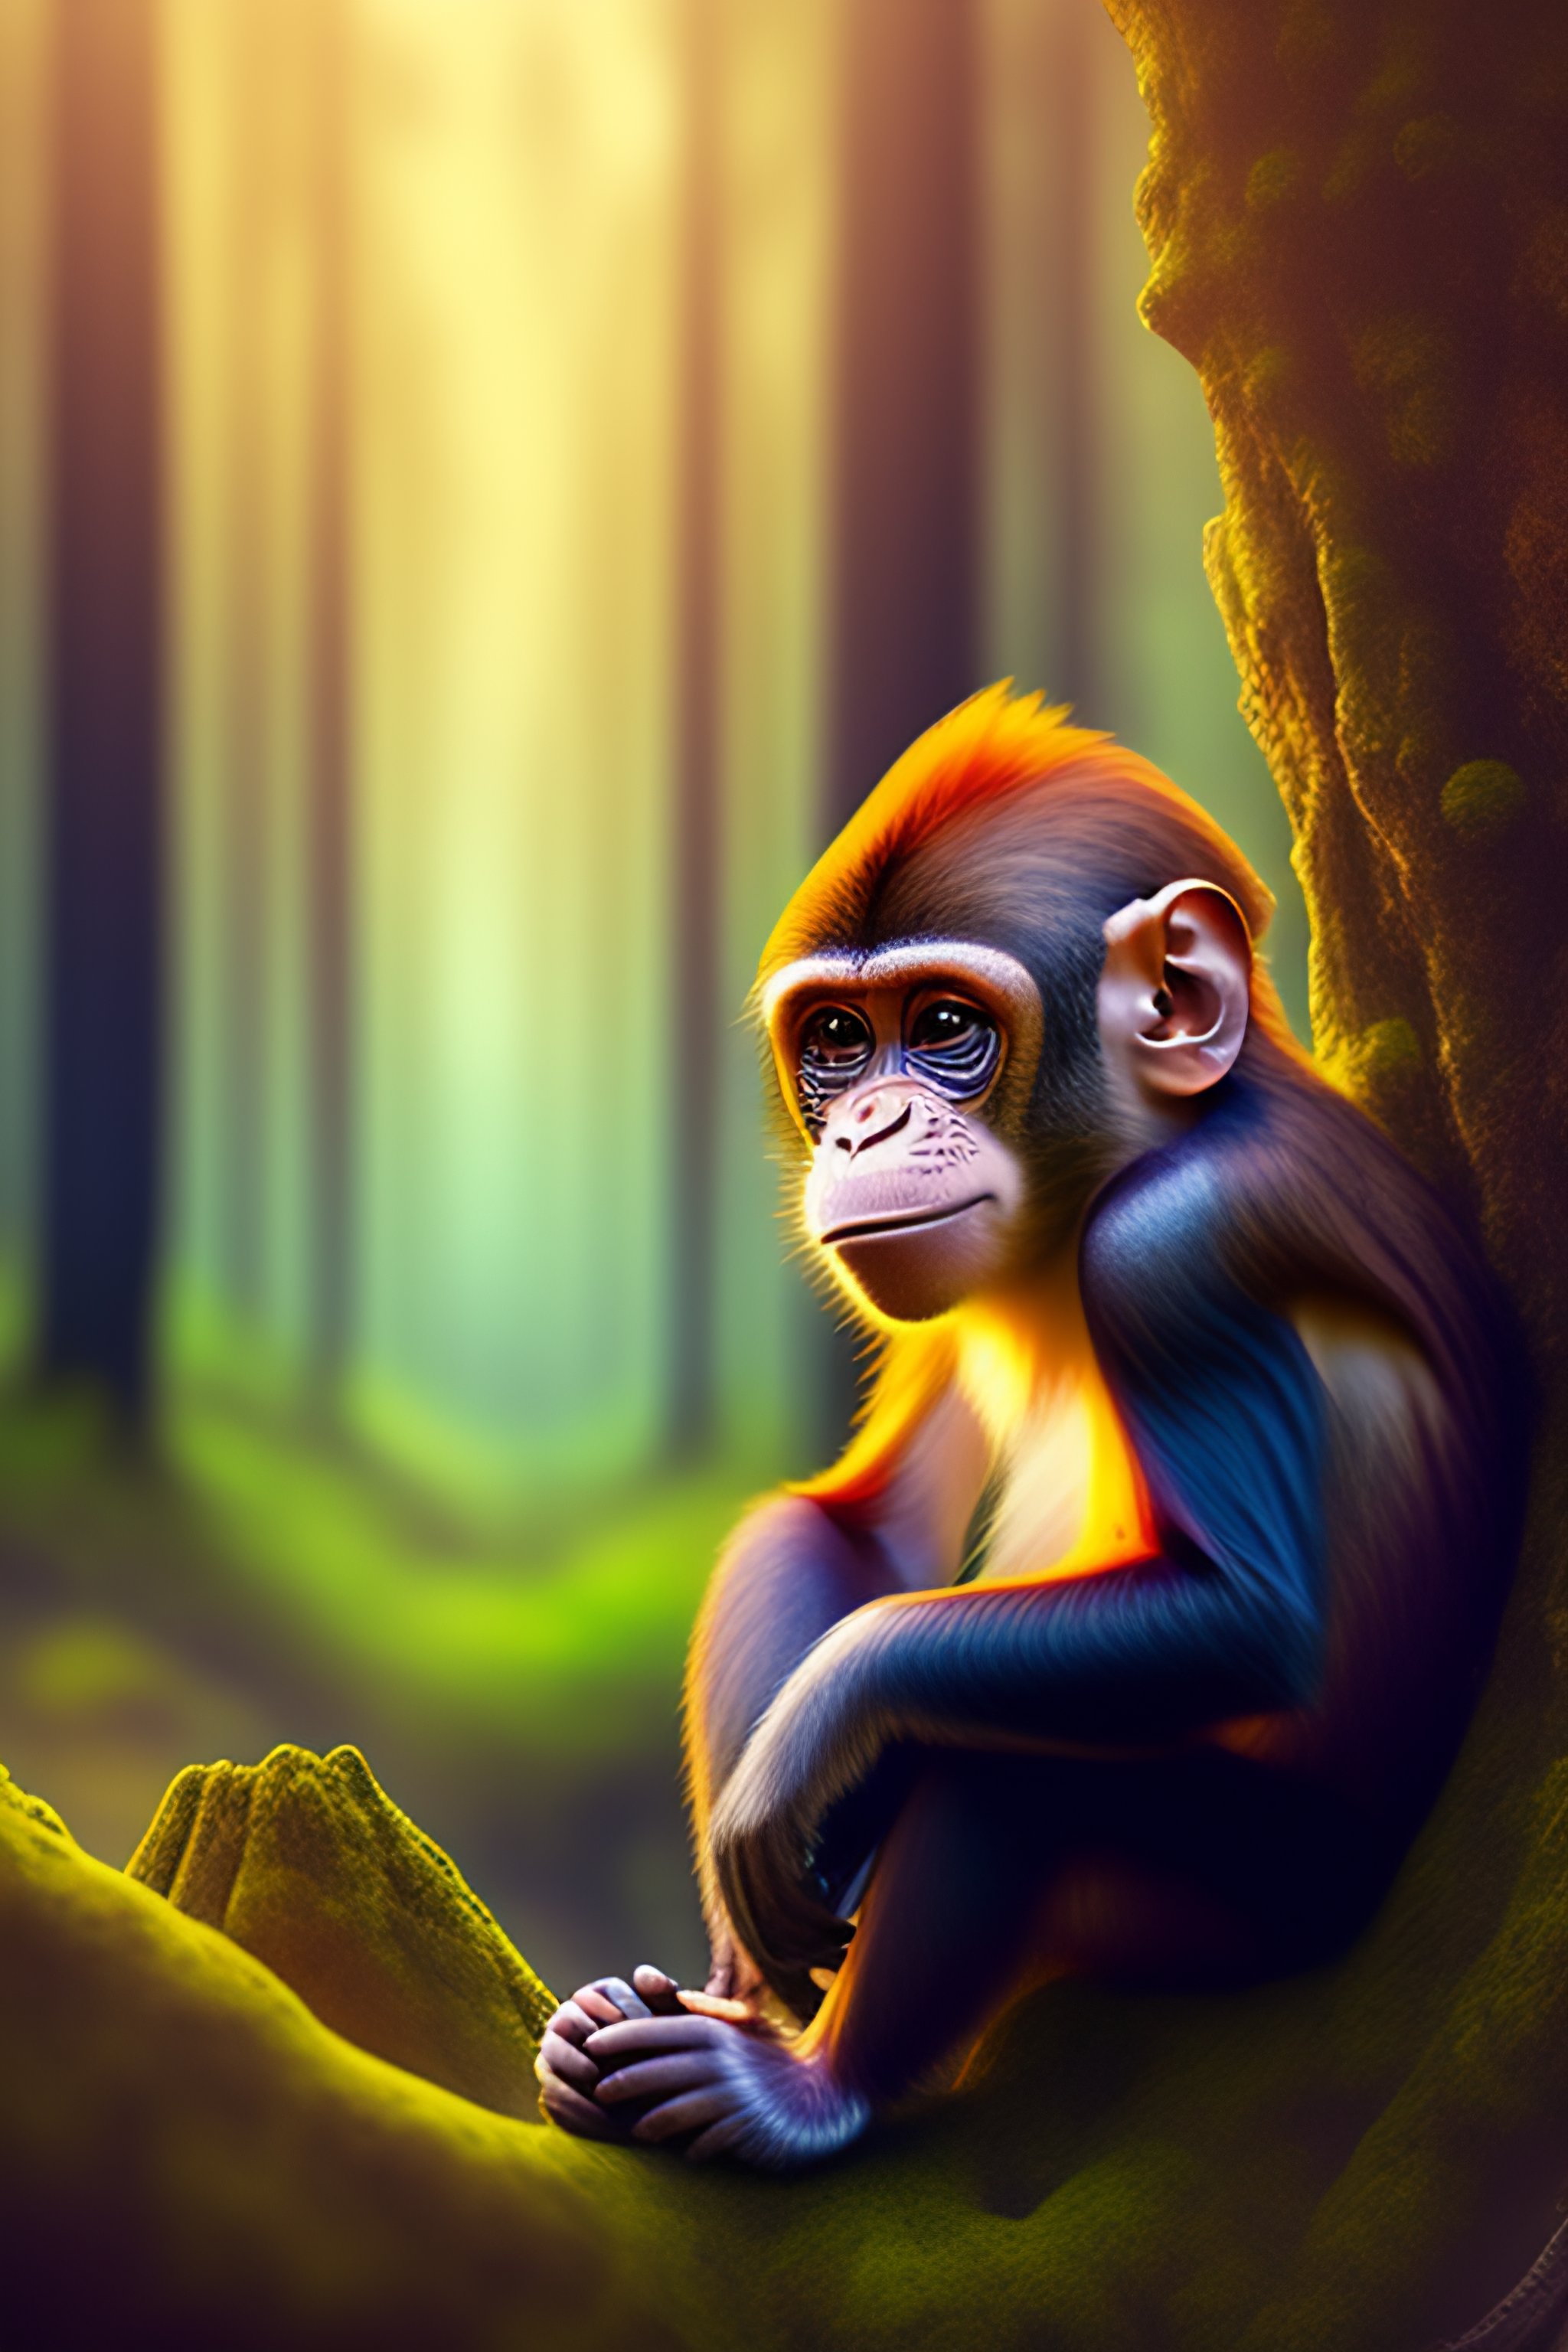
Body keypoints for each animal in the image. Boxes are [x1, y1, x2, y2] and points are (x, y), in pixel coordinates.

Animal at [535, 685, 1527, 2170]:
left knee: (1001, 1758)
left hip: (1251, 1898)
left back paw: (807, 2091)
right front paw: (748, 1927)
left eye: (946, 1020)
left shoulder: (1177, 1242)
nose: (866, 1125)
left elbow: (1242, 1618)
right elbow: (847, 1522)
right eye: (838, 1040)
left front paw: (813, 1735)